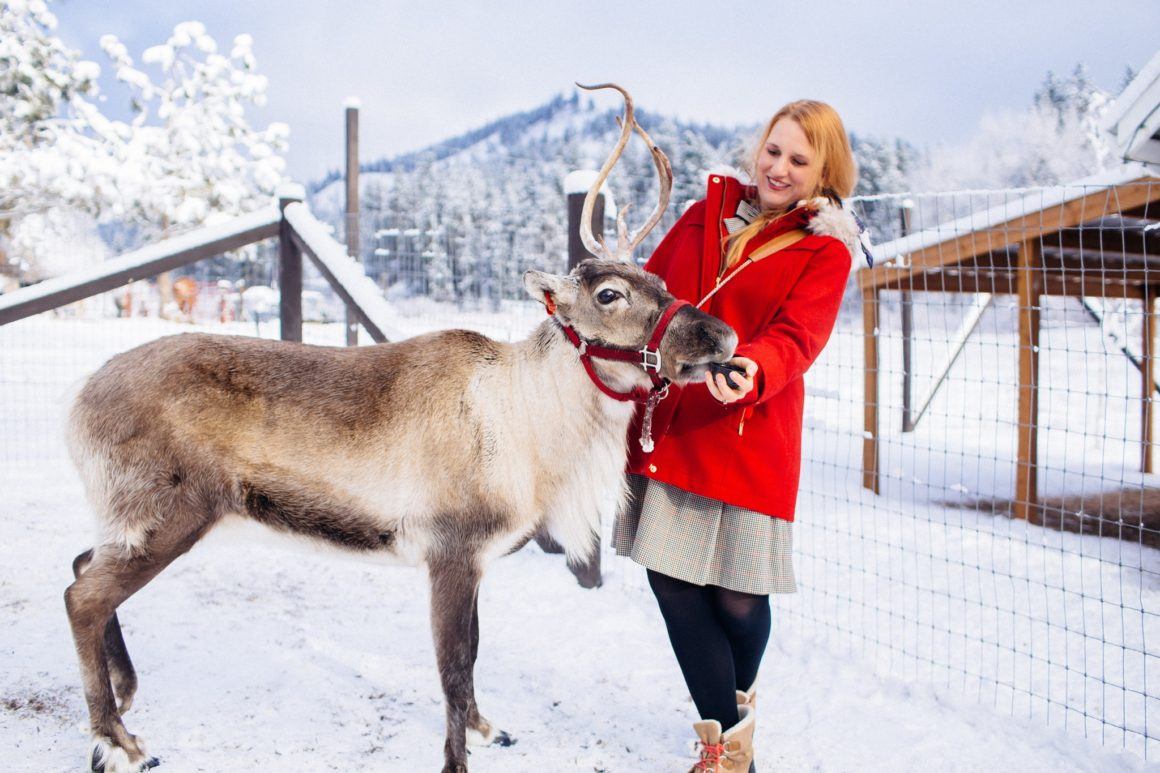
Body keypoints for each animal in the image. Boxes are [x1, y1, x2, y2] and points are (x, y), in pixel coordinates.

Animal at [63, 83, 739, 773]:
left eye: (660, 281)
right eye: (608, 294)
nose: (721, 335)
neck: (530, 435)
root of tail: (77, 403)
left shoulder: (478, 558)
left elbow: (473, 655)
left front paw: (488, 728)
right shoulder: (450, 547)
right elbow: (453, 668)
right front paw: (457, 758)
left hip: (127, 517)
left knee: (80, 563)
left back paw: (125, 695)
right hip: (166, 512)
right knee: (82, 597)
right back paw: (118, 740)